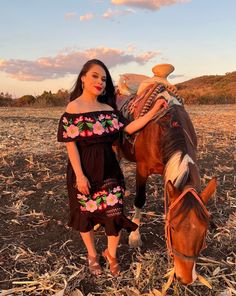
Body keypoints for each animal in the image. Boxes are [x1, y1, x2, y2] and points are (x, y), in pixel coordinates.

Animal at [117, 82, 217, 284]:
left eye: (205, 229)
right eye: (172, 227)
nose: (185, 277)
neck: (163, 128)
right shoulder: (142, 169)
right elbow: (140, 200)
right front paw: (134, 236)